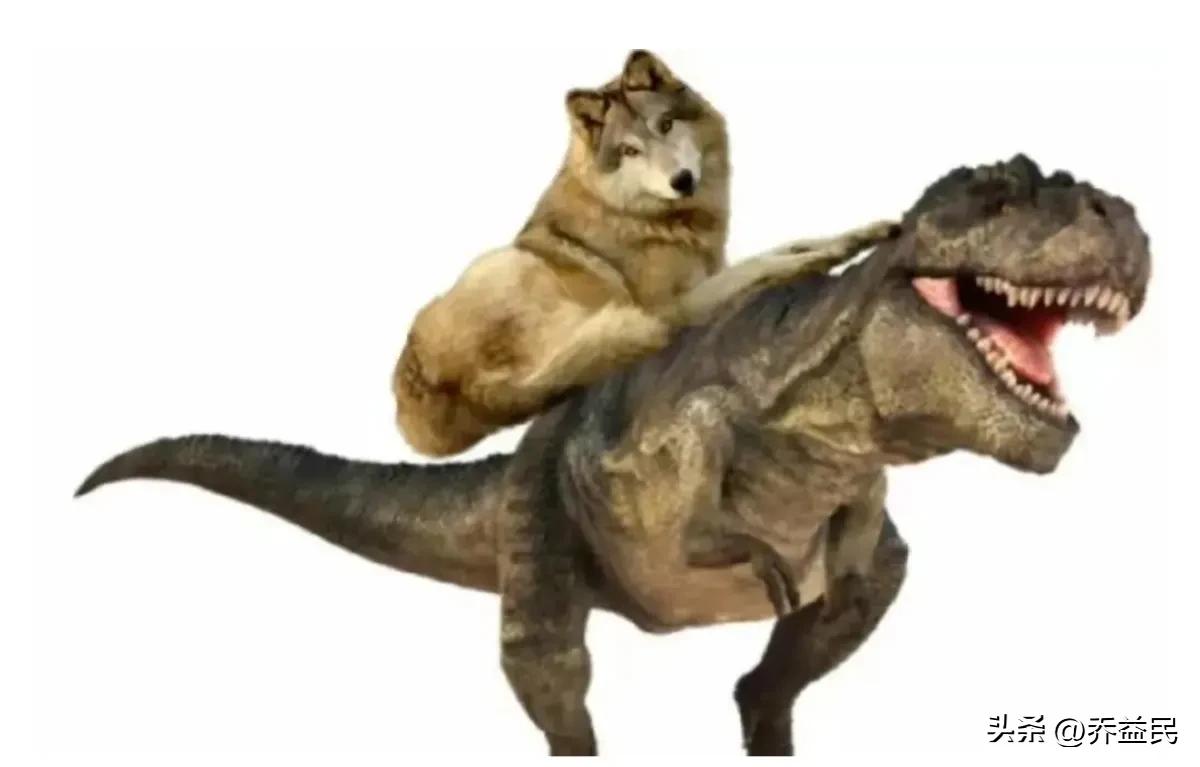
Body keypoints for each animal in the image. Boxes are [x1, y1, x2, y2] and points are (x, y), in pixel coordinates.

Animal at [392, 49, 896, 456]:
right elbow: (768, 264)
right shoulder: (678, 302)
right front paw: (826, 258)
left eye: (666, 125)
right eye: (630, 150)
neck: (645, 215)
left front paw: (866, 232)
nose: (682, 181)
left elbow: (792, 244)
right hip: (519, 270)